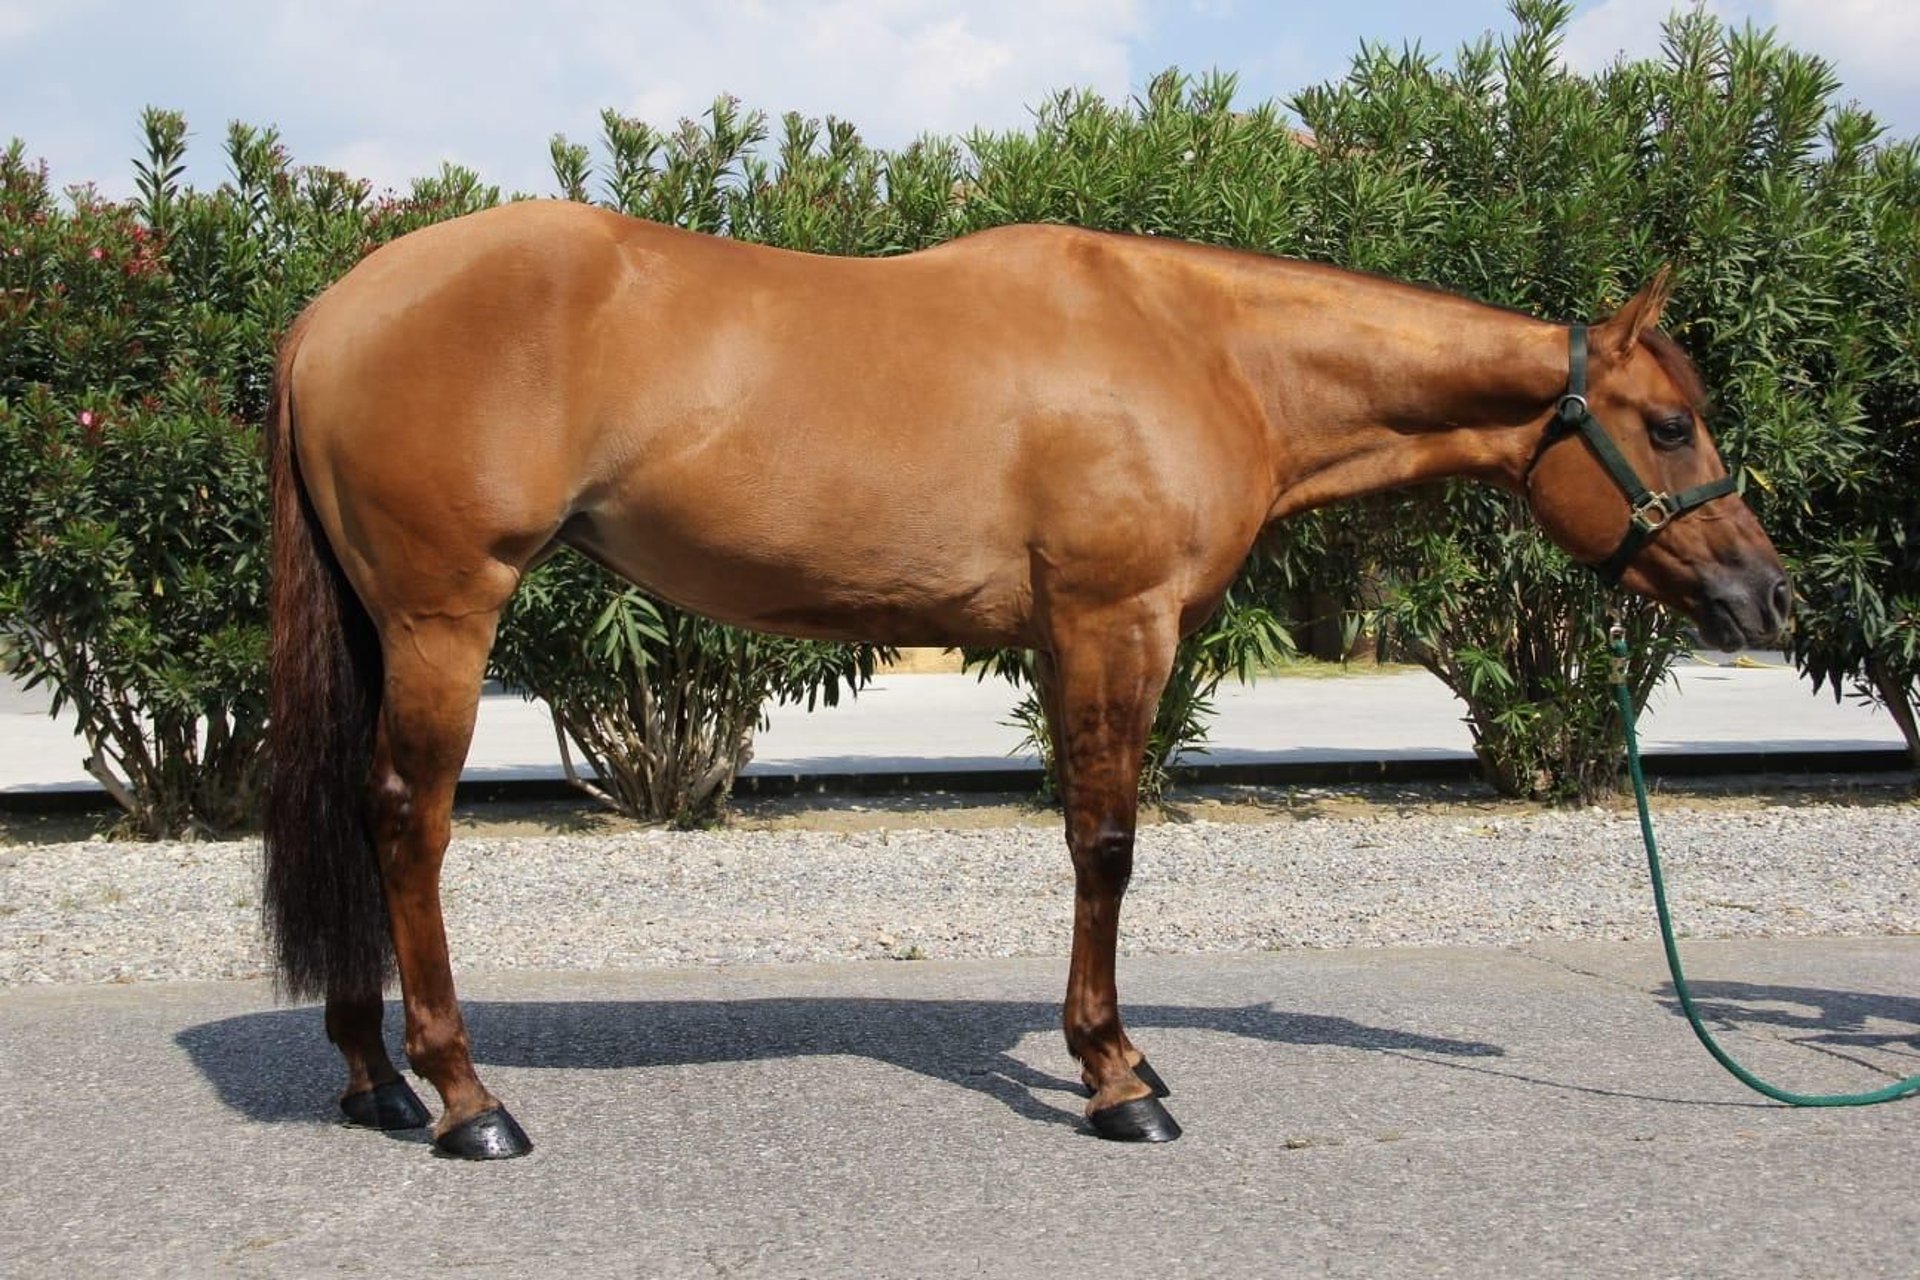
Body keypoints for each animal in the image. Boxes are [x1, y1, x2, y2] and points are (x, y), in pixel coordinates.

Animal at [263, 200, 1789, 1159]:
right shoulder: (1120, 625)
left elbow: (1083, 838)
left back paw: (372, 1078)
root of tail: (330, 308)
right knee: (406, 819)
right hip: (446, 614)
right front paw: (1119, 1081)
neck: (1205, 349)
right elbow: (1105, 844)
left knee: (350, 809)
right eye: (1670, 422)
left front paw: (1116, 1059)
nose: (1765, 595)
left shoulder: (1070, 640)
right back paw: (468, 1100)